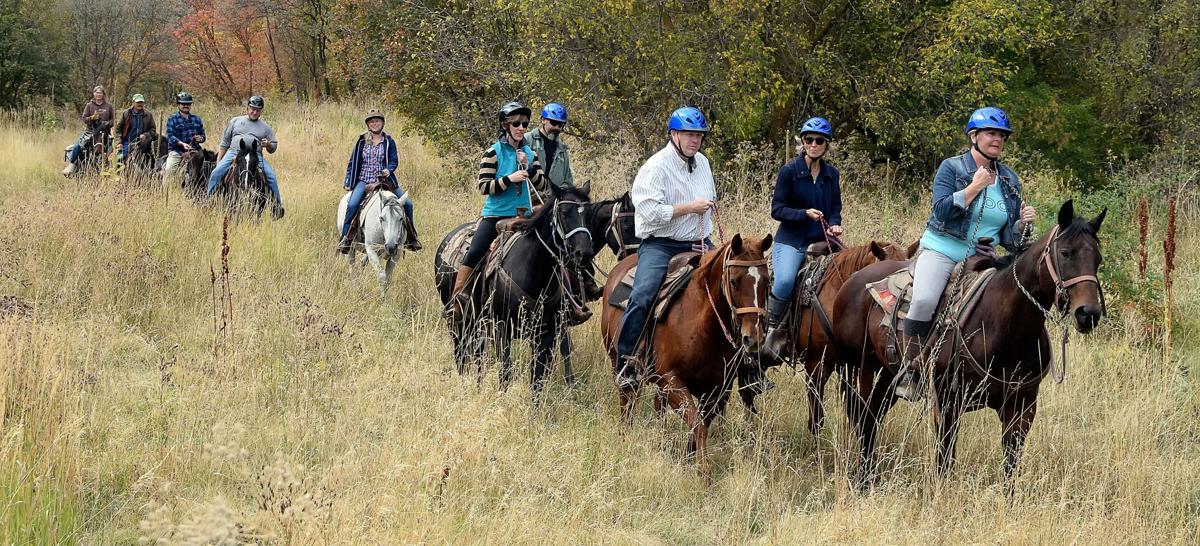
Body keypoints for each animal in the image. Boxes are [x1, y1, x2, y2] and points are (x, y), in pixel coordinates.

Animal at [435, 183, 594, 398]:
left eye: (589, 214)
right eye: (564, 212)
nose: (584, 253)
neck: (534, 270)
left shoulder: (545, 332)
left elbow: (537, 376)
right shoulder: (502, 325)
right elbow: (505, 370)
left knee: (477, 355)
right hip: (460, 321)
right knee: (461, 353)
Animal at [600, 234, 773, 479]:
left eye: (767, 282)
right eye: (734, 281)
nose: (753, 338)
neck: (703, 326)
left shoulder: (717, 389)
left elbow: (700, 424)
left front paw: (688, 460)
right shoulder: (671, 381)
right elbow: (697, 425)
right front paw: (704, 472)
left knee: (658, 405)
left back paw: (662, 443)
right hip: (620, 361)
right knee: (627, 401)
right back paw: (625, 436)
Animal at [831, 200, 1106, 487]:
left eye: (1098, 258)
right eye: (1065, 252)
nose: (1088, 314)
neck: (1003, 327)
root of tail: (853, 281)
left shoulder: (1022, 407)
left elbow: (1010, 466)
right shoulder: (948, 402)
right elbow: (945, 459)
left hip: (889, 375)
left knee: (872, 416)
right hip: (858, 367)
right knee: (863, 416)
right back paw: (863, 479)